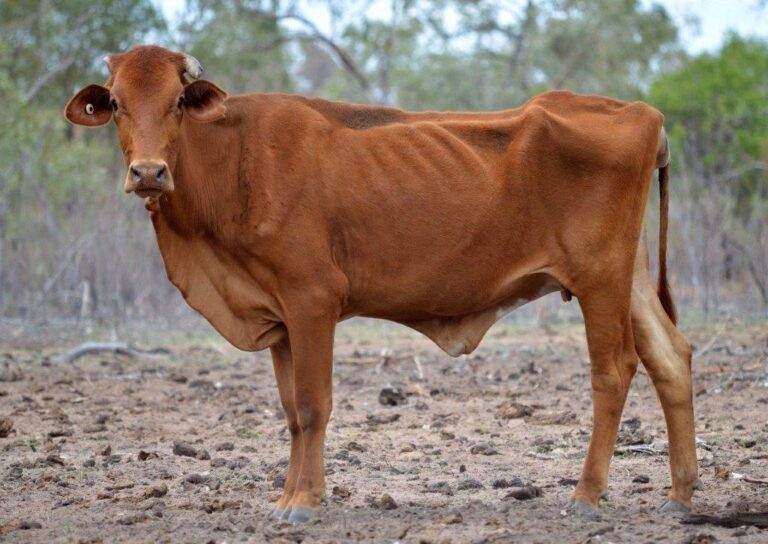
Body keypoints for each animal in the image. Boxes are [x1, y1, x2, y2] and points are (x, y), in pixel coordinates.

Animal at [64, 45, 698, 522]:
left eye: (177, 102)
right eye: (116, 103)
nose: (149, 172)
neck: (235, 158)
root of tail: (643, 114)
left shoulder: (313, 300)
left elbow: (313, 405)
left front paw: (304, 502)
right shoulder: (281, 319)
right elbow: (291, 413)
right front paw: (287, 495)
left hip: (600, 281)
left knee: (613, 371)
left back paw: (587, 494)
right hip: (629, 279)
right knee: (671, 359)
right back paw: (680, 492)